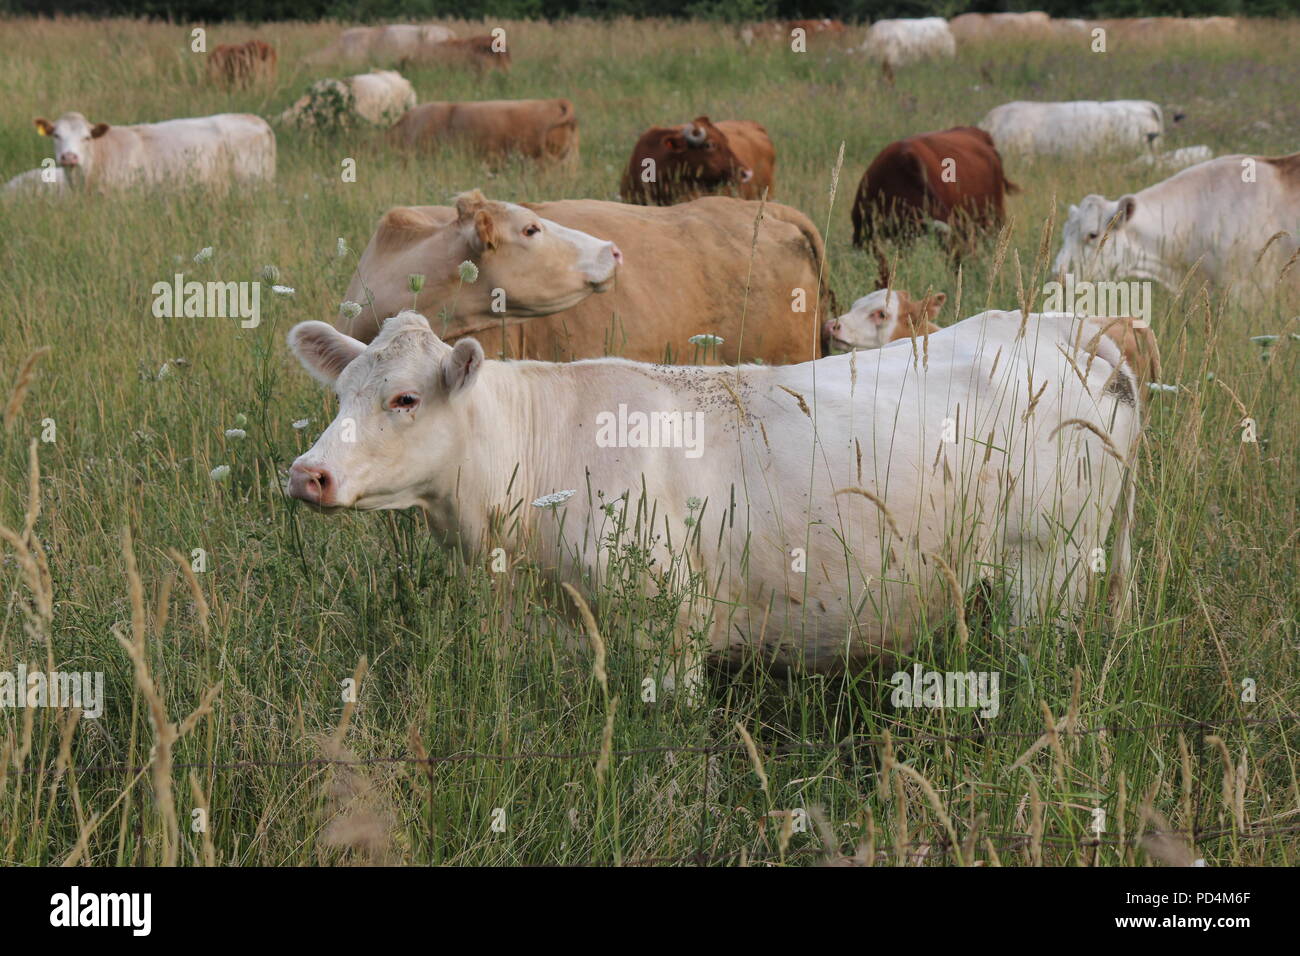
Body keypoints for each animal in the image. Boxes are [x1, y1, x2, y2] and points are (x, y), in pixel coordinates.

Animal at [285, 306, 1156, 693]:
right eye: (340, 394)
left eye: (404, 399)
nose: (307, 474)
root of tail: (1070, 329)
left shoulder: (667, 629)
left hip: (1047, 575)